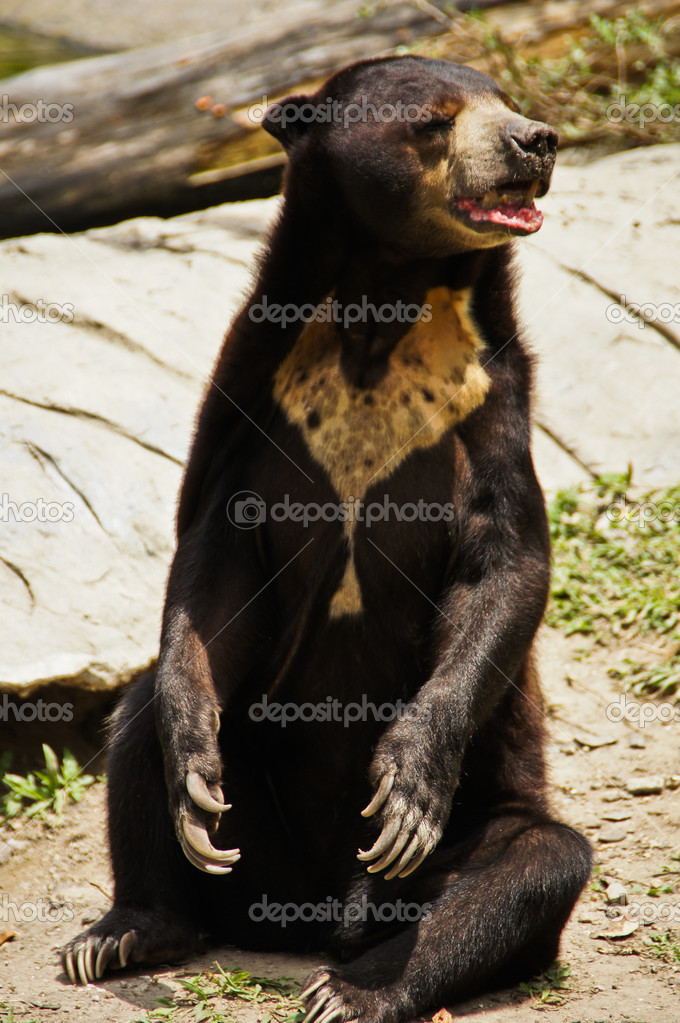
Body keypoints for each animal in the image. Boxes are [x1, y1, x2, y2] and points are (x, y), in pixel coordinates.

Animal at [62, 55, 592, 1022]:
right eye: (436, 118)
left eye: (506, 101)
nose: (537, 141)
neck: (385, 303)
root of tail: (312, 908)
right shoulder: (256, 398)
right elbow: (214, 571)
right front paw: (192, 761)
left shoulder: (489, 406)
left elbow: (504, 564)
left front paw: (406, 788)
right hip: (251, 830)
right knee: (141, 722)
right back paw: (123, 930)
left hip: (464, 831)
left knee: (535, 862)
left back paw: (353, 986)